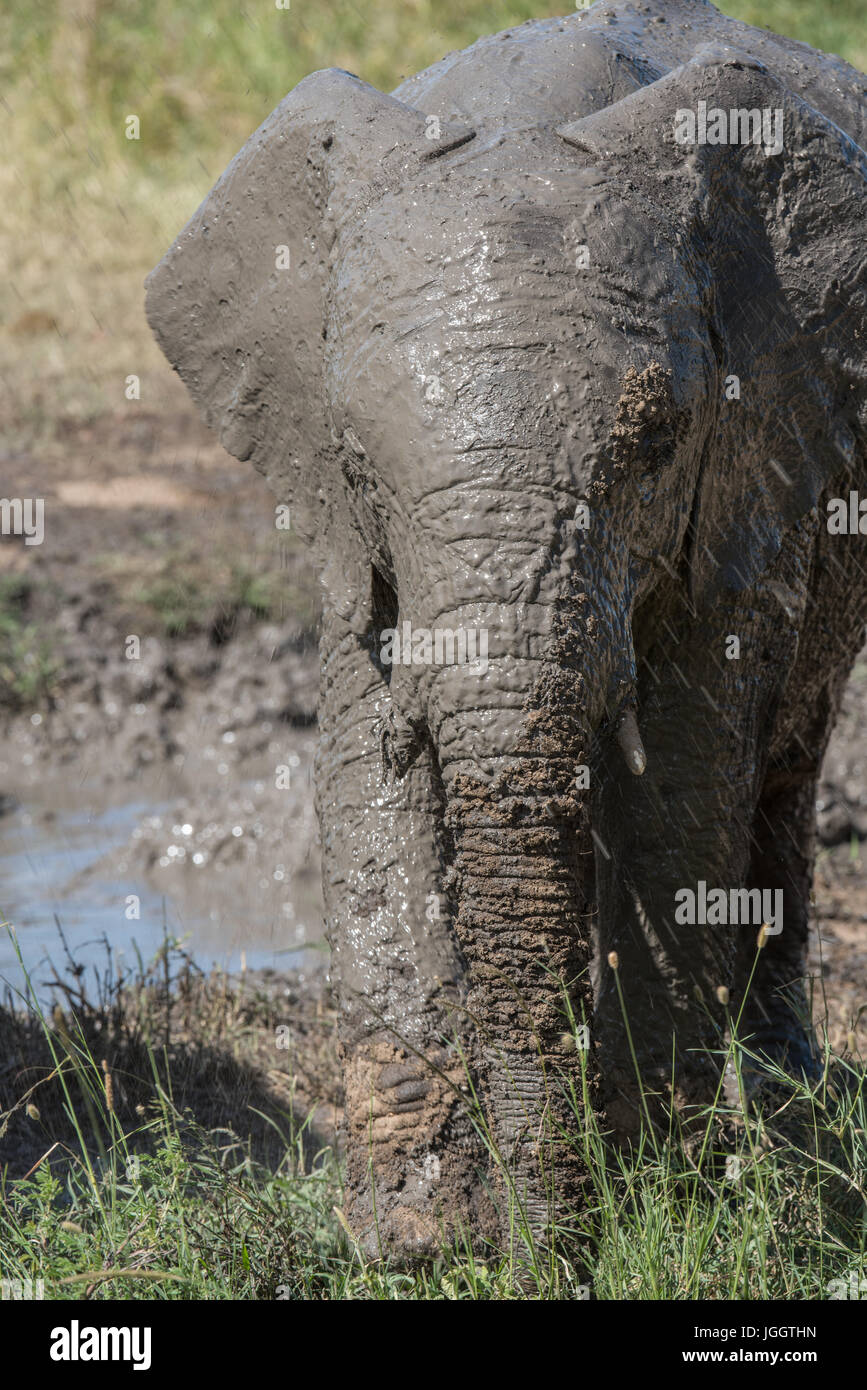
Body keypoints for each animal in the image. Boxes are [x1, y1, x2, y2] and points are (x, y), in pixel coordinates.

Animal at [146, 0, 867, 1259]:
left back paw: (788, 1102)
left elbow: (681, 790)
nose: (544, 1251)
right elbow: (365, 777)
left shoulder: (749, 469)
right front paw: (417, 1237)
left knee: (786, 767)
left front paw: (654, 1212)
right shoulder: (354, 546)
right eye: (353, 460)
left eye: (658, 444)